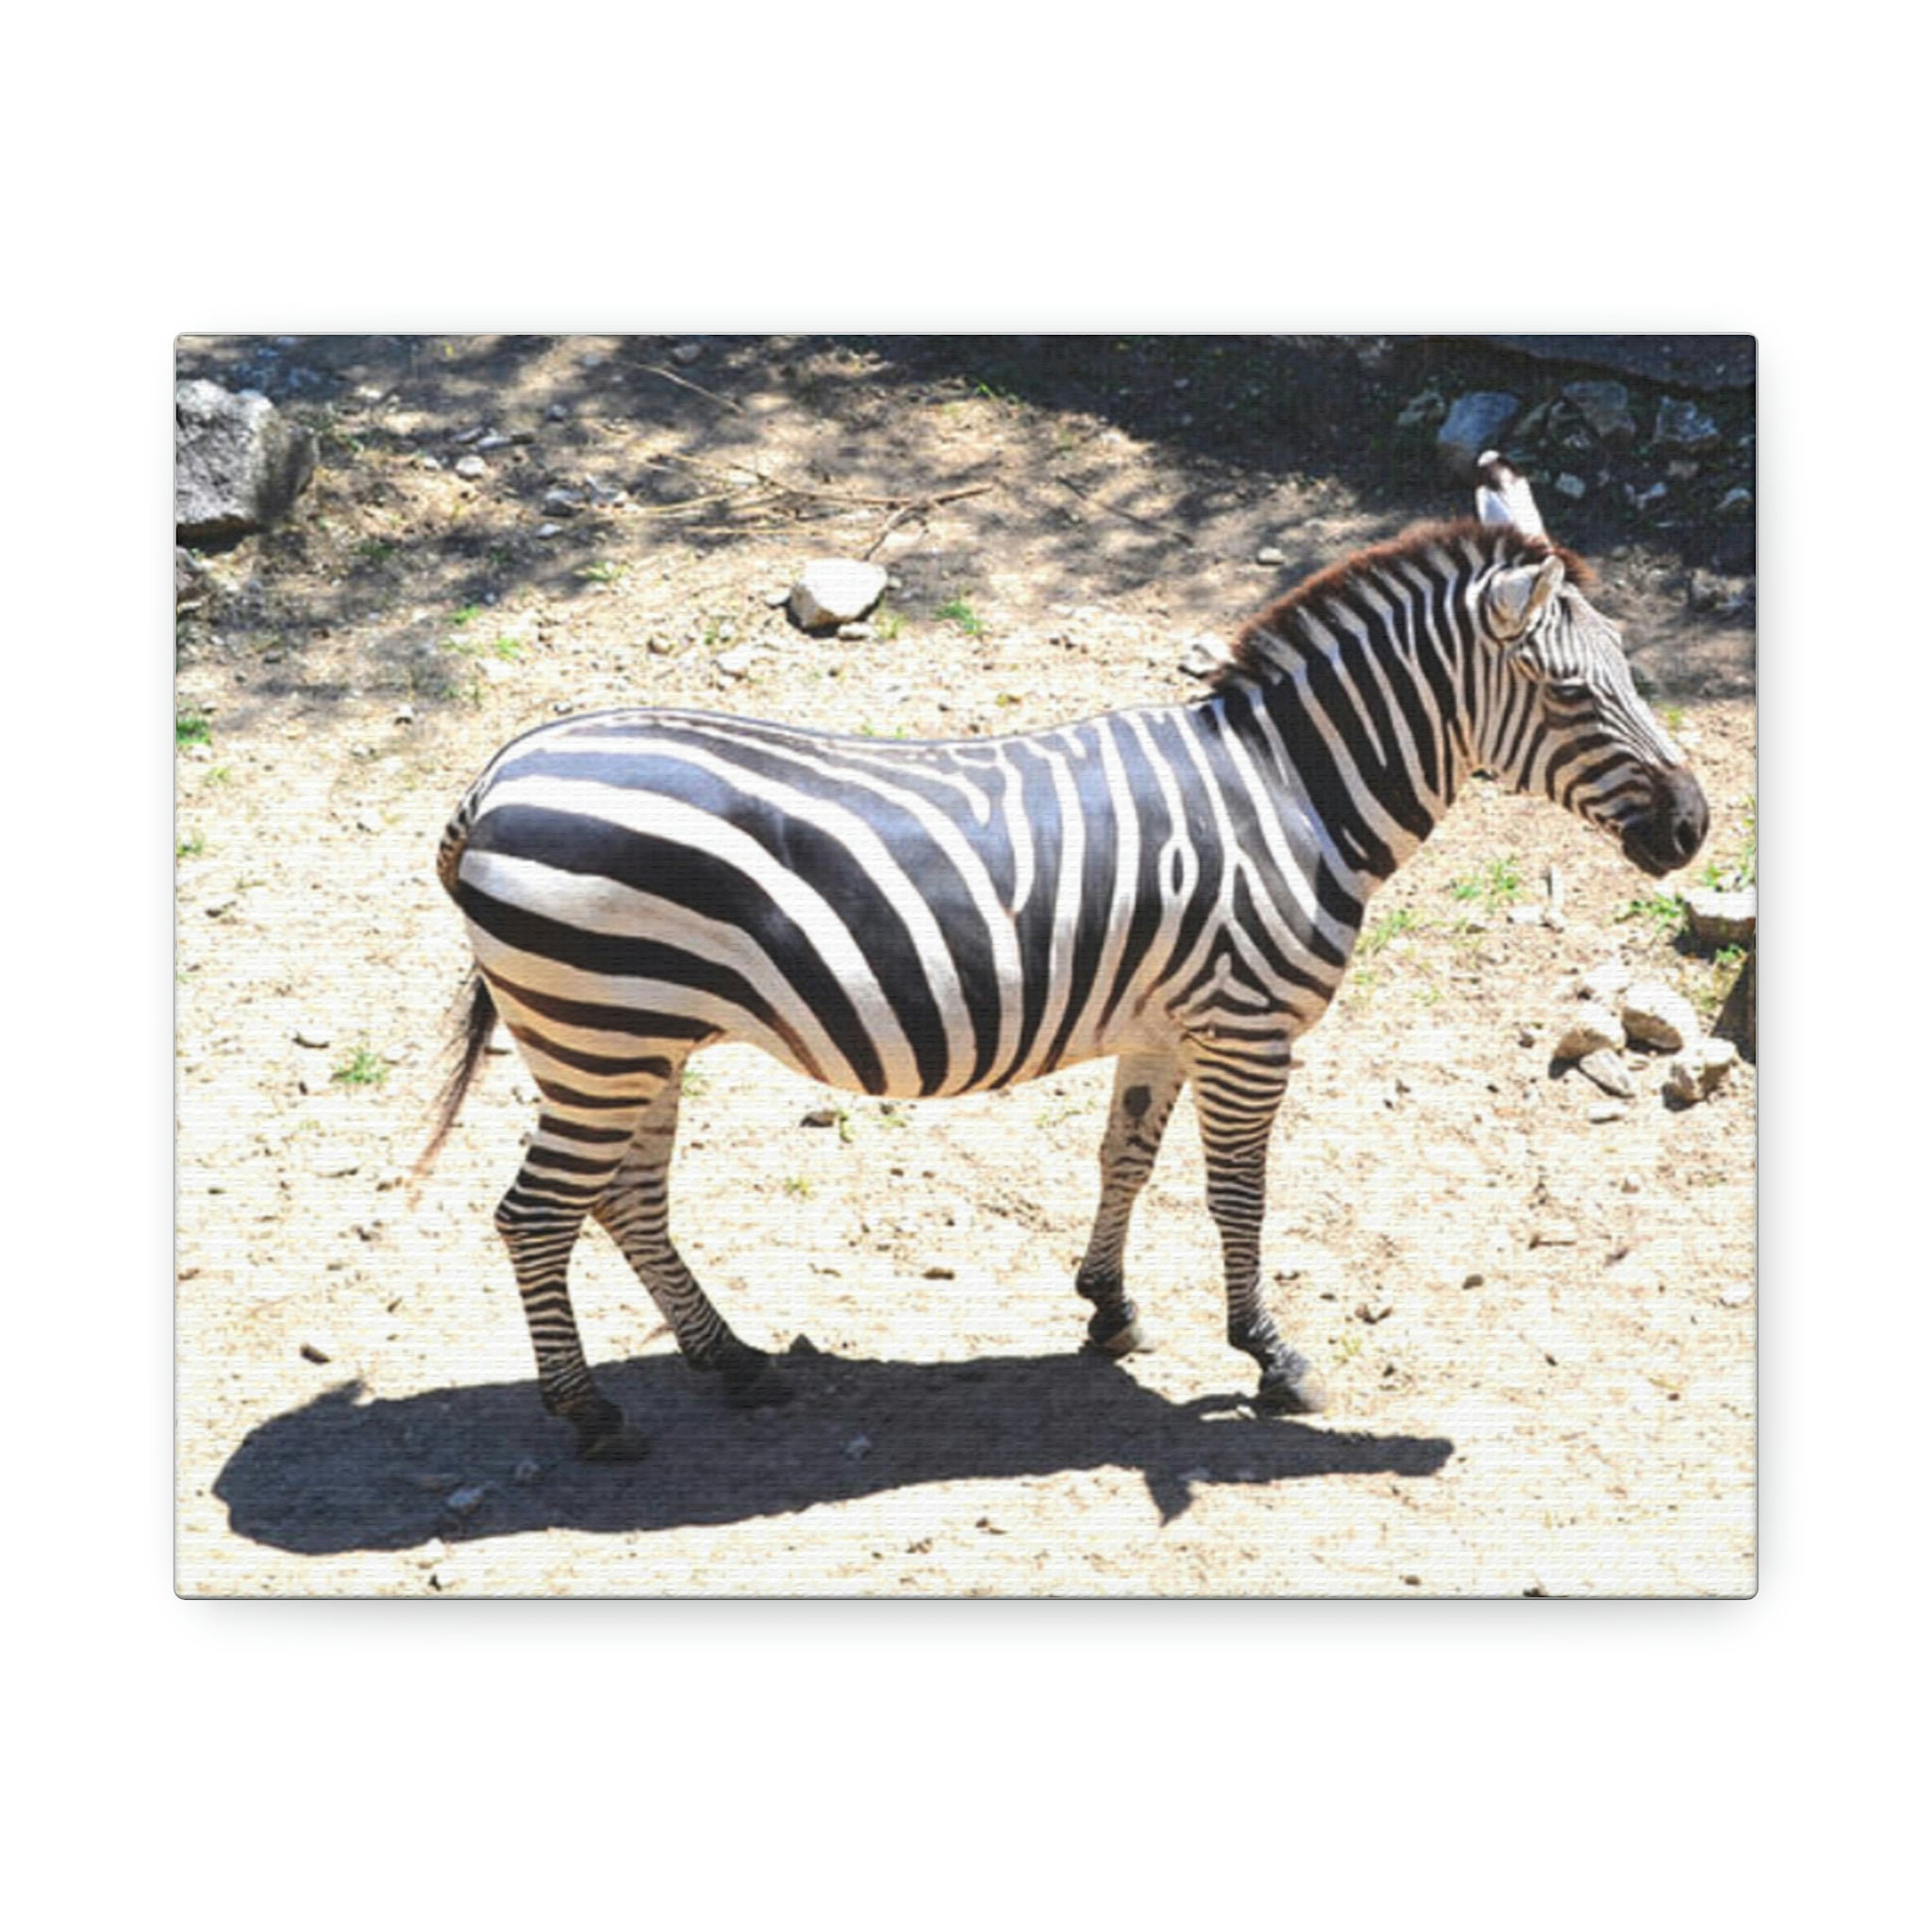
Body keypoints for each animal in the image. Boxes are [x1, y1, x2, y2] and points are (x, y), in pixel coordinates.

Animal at [419, 456, 1708, 1462]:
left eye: (1627, 668)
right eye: (1568, 691)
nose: (1693, 827)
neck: (1292, 791)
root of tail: (497, 774)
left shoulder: (1168, 1022)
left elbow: (1123, 1158)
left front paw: (1107, 1308)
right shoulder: (1247, 1028)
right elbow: (1235, 1193)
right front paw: (1267, 1352)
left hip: (635, 1035)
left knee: (622, 1197)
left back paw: (732, 1359)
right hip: (601, 1031)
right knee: (535, 1211)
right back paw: (591, 1415)